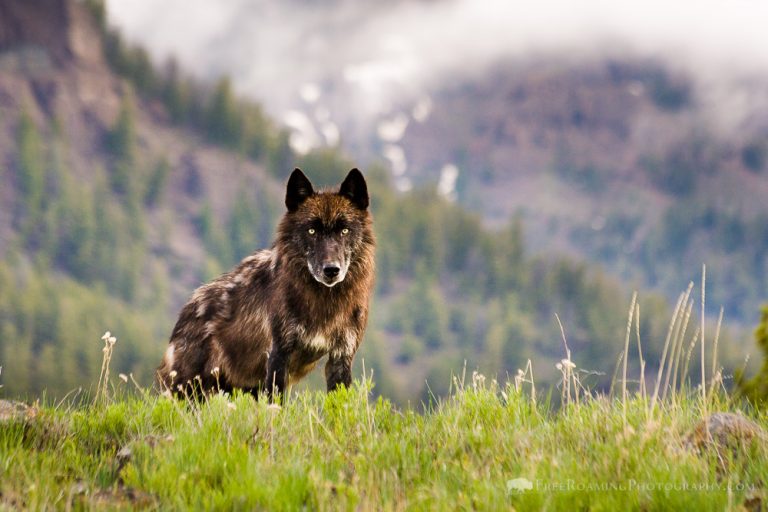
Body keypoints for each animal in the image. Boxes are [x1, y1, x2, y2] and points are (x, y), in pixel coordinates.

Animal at [157, 168, 375, 398]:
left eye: (345, 231)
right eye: (311, 231)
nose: (331, 270)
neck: (323, 303)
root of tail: (189, 305)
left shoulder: (341, 356)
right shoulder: (279, 354)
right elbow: (276, 403)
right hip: (191, 389)